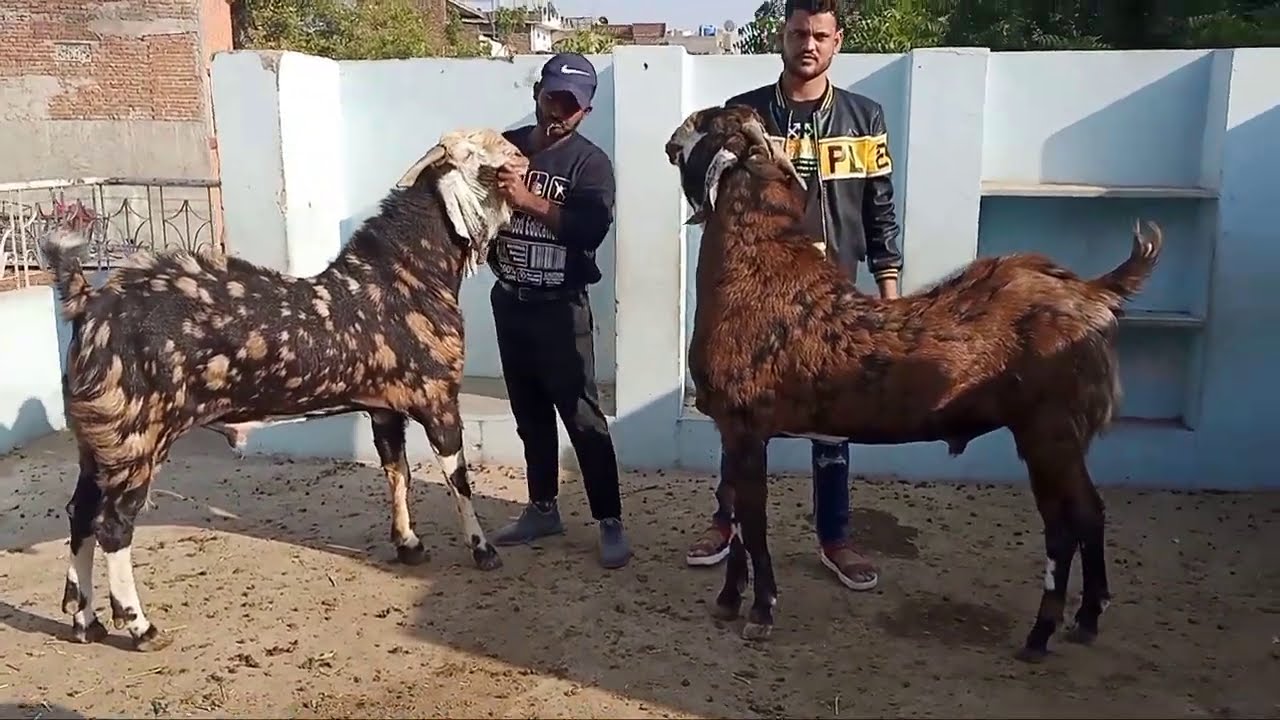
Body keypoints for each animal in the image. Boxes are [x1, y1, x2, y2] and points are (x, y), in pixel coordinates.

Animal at [39, 128, 528, 652]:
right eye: (479, 155)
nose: (524, 158)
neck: (404, 278)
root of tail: (87, 304)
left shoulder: (383, 408)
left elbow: (397, 472)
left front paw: (409, 545)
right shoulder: (438, 398)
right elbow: (458, 479)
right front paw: (483, 550)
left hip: (99, 442)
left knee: (80, 513)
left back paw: (84, 620)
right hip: (136, 438)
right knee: (113, 526)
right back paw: (139, 626)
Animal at [664, 103, 1164, 662]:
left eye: (704, 123)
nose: (669, 144)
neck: (757, 272)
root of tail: (1095, 293)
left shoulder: (748, 425)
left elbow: (752, 522)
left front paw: (761, 613)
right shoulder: (733, 430)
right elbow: (734, 514)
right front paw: (729, 601)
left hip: (1047, 433)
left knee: (1063, 525)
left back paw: (1039, 637)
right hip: (1063, 438)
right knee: (1091, 513)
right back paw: (1087, 618)